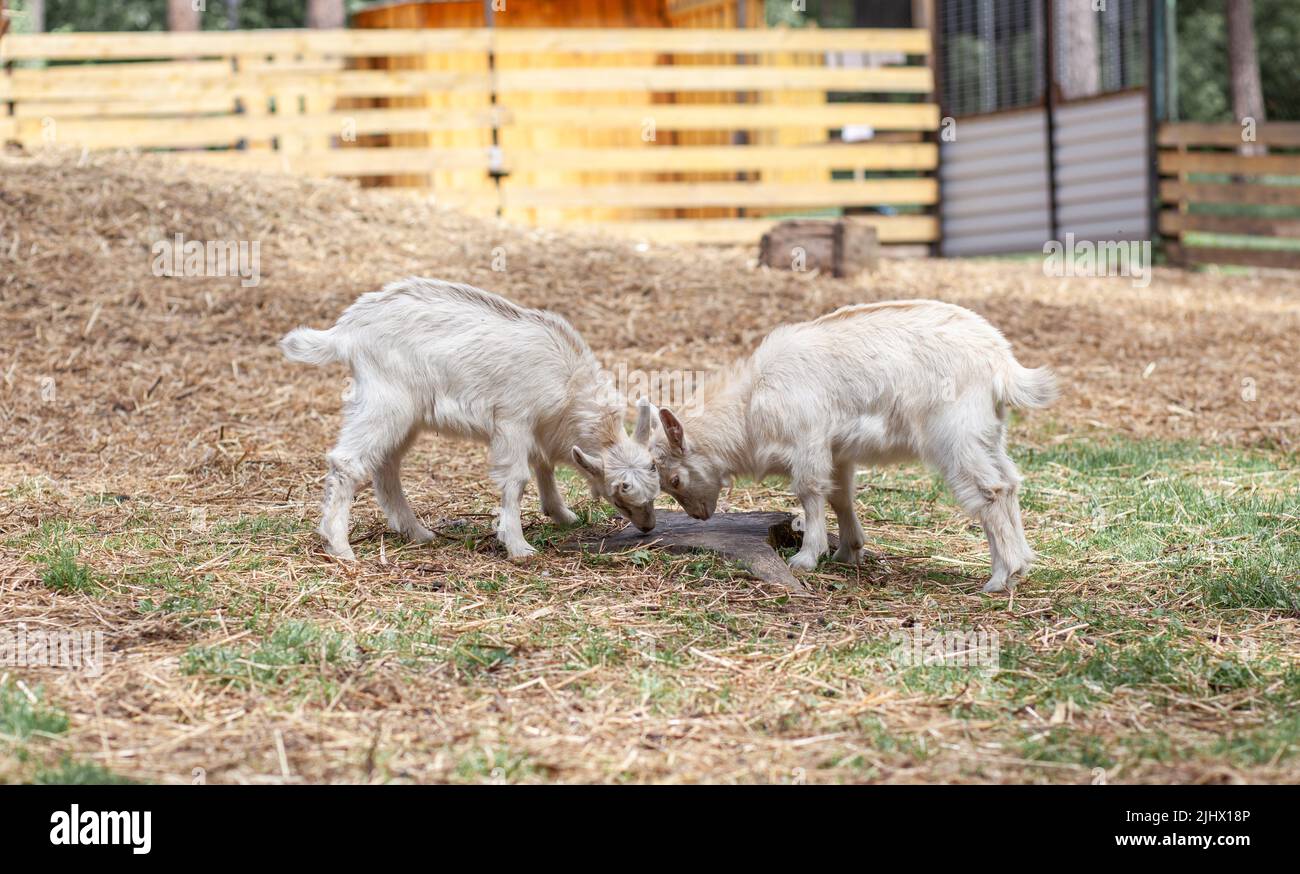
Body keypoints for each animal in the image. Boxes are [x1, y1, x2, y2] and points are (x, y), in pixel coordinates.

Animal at [280, 277, 659, 561]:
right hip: (385, 403)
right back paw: (339, 546)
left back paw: (417, 533)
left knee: (386, 467)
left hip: (406, 417)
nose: (648, 527)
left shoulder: (539, 429)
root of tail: (346, 331)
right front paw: (518, 545)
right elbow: (516, 478)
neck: (569, 385)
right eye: (619, 495)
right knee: (348, 461)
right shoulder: (513, 420)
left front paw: (562, 514)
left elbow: (543, 465)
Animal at [651, 300, 1058, 593]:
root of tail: (1001, 363)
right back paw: (1022, 564)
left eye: (674, 480)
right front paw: (848, 552)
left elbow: (810, 492)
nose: (698, 516)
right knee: (1010, 483)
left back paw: (999, 578)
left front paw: (807, 557)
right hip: (988, 434)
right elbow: (840, 497)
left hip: (956, 436)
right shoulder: (838, 452)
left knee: (990, 491)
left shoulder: (808, 440)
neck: (750, 402)